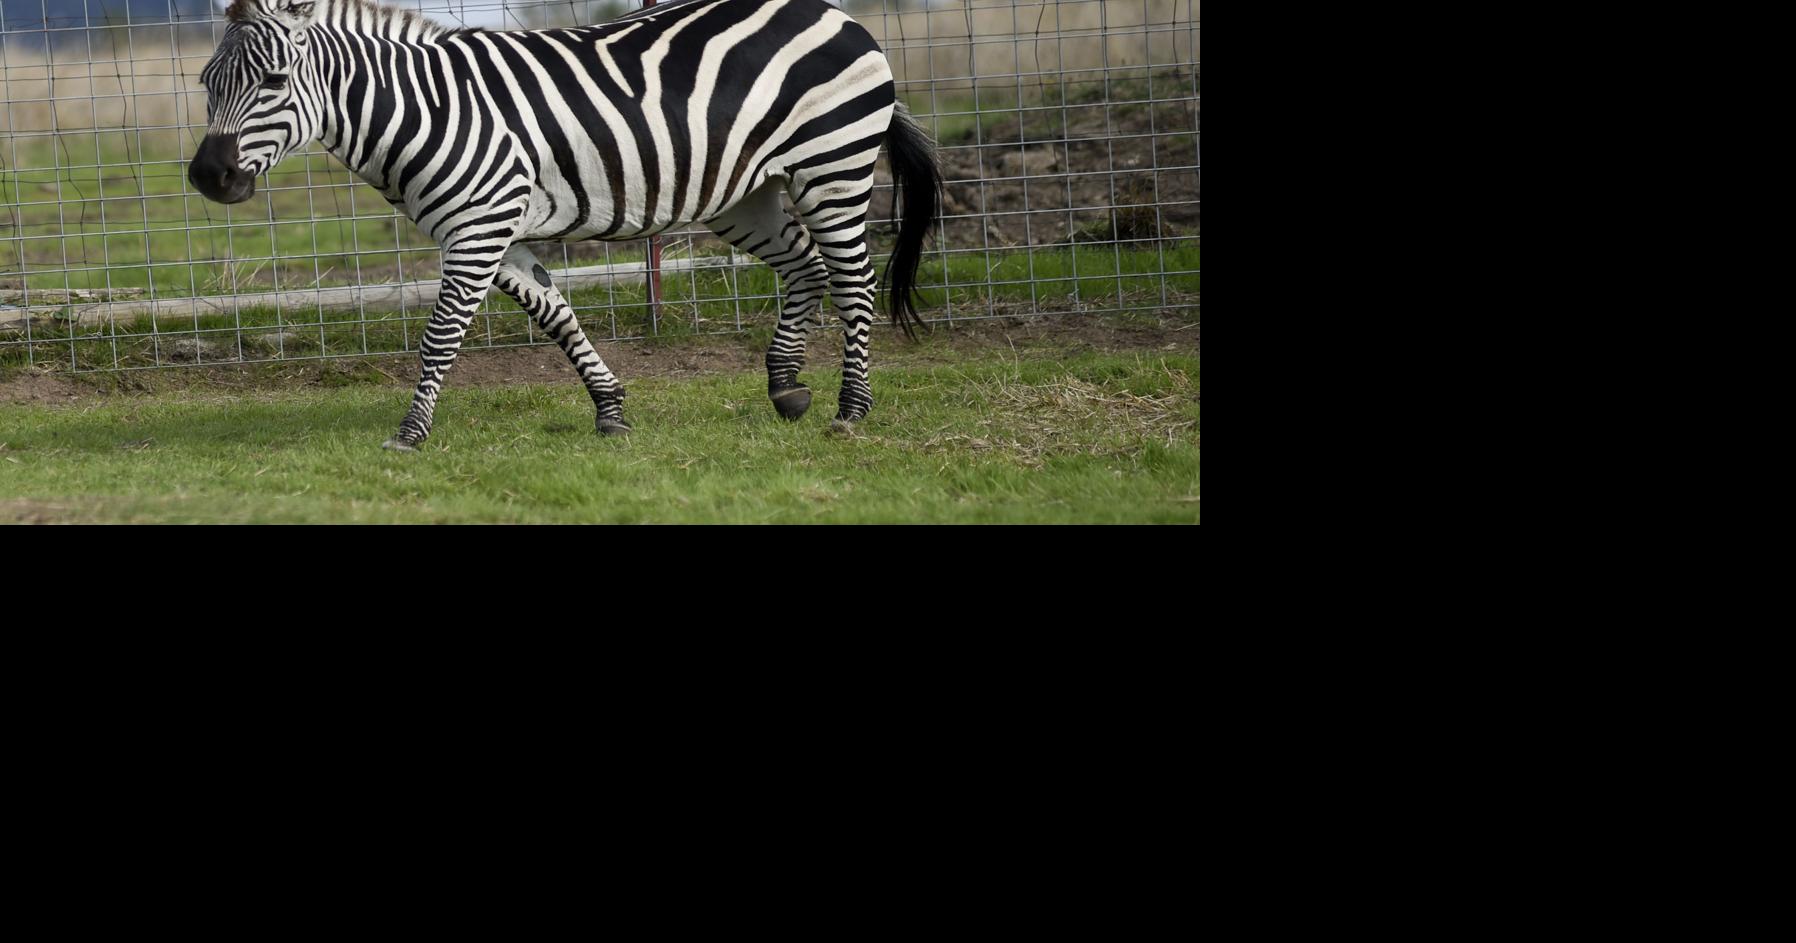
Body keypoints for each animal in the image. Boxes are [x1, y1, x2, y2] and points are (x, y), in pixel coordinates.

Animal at [188, 0, 940, 450]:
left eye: (275, 82)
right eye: (205, 84)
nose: (207, 177)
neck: (424, 108)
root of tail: (834, 12)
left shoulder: (478, 228)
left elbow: (440, 337)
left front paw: (410, 432)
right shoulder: (500, 234)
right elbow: (557, 316)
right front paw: (610, 410)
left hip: (832, 164)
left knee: (854, 280)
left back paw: (852, 408)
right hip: (745, 194)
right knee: (805, 267)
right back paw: (786, 387)